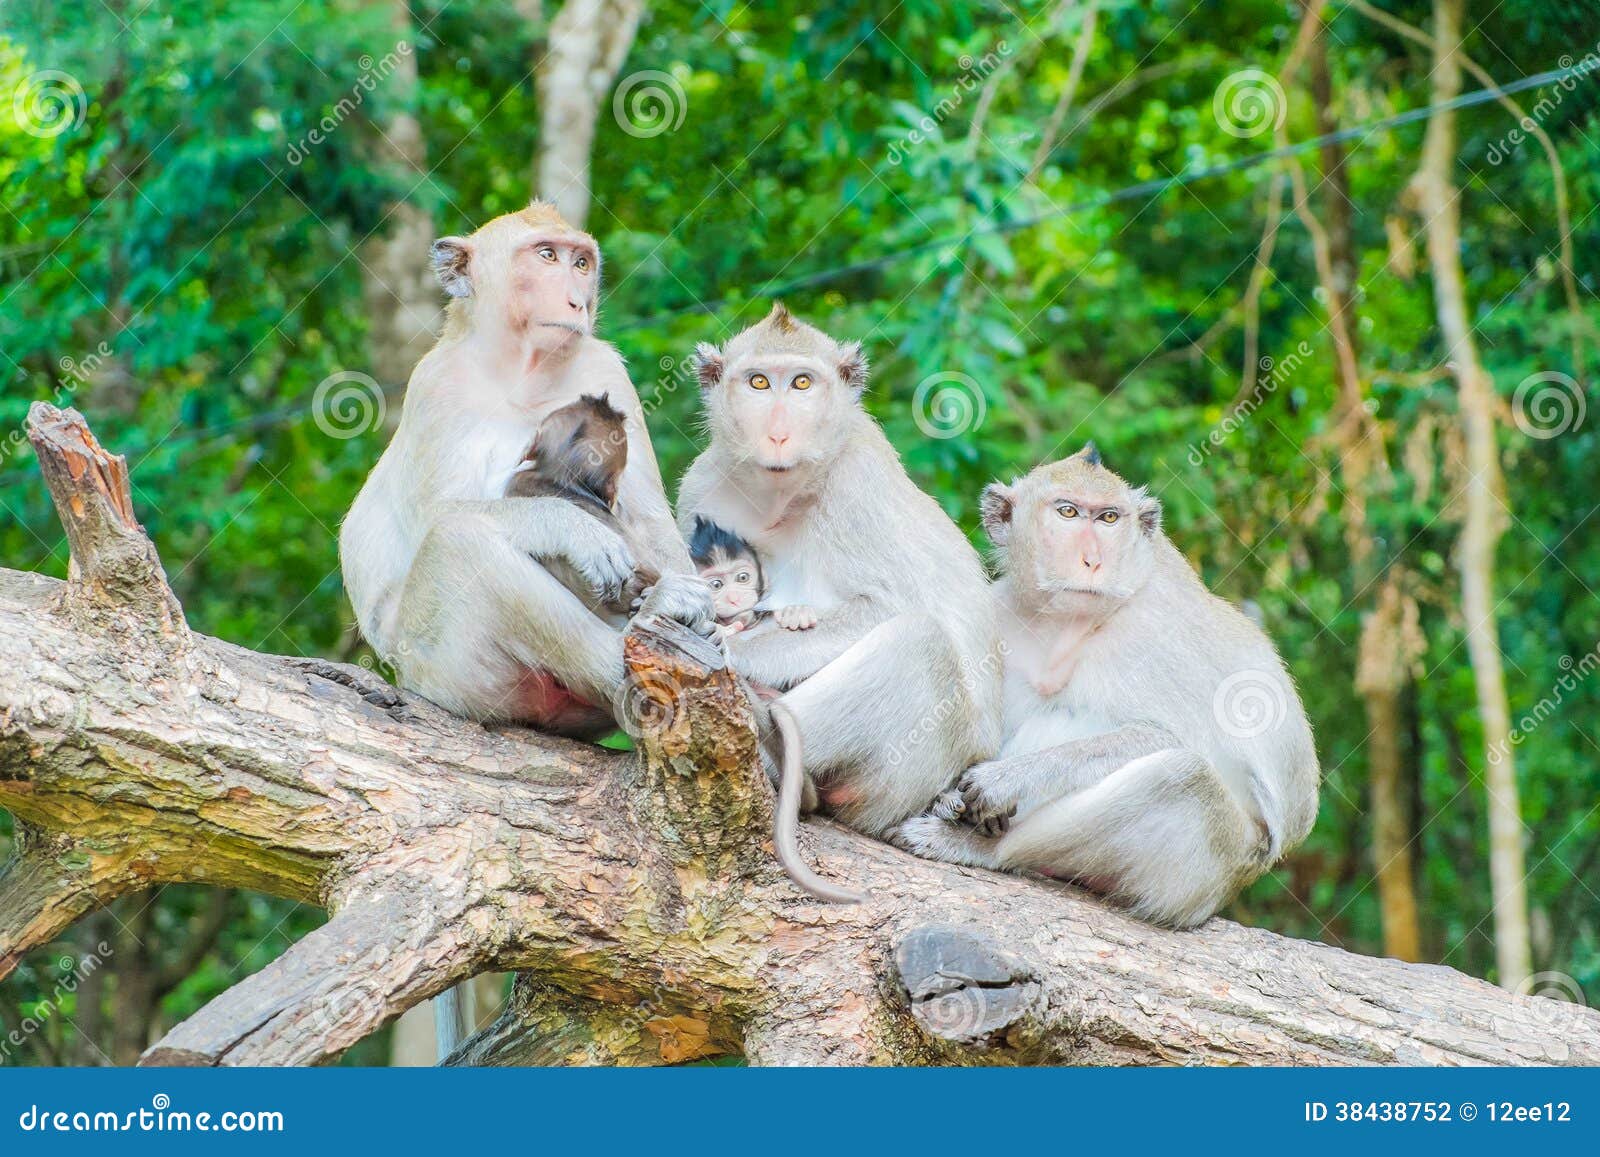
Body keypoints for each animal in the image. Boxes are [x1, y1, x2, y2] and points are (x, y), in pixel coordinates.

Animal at [339, 201, 714, 1056]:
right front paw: (574, 528)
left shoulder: (604, 366)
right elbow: (449, 521)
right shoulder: (437, 388)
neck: (522, 370)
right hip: (448, 673)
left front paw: (684, 591)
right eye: (544, 256)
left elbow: (649, 518)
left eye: (580, 261)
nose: (575, 298)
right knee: (464, 547)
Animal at [892, 445, 1320, 929]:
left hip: (1211, 869)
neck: (1071, 623)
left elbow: (1179, 740)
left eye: (1109, 518)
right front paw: (949, 795)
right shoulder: (1000, 610)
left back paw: (983, 848)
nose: (1093, 560)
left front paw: (1005, 780)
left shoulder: (1155, 630)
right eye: (1068, 512)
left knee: (1181, 777)